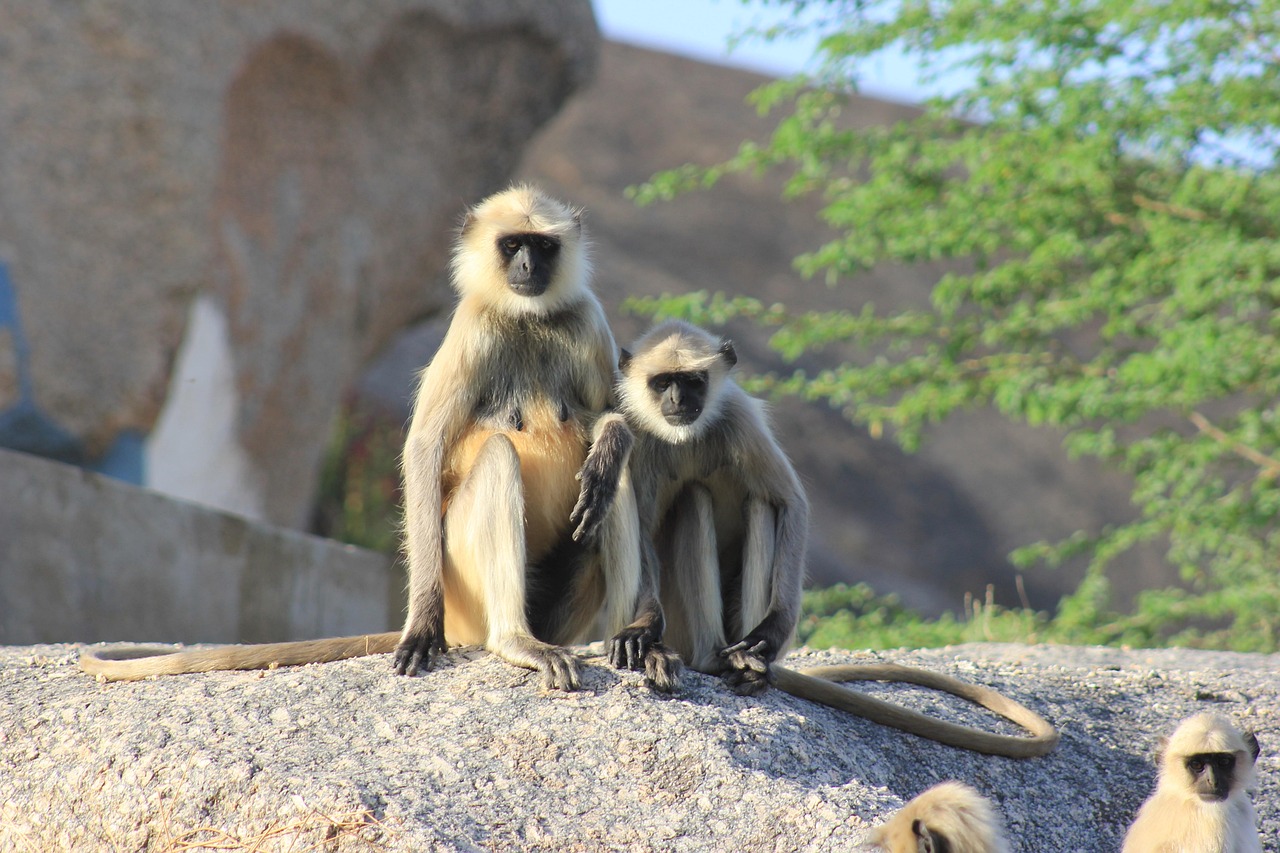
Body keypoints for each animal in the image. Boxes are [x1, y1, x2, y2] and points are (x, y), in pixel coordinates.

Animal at [81, 185, 646, 687]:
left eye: (543, 246)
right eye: (512, 245)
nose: (528, 267)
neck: (527, 319)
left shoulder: (587, 318)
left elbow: (610, 421)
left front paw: (612, 437)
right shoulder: (472, 327)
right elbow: (424, 450)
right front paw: (421, 624)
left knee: (610, 480)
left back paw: (631, 638)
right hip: (462, 583)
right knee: (499, 455)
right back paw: (515, 641)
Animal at [606, 319, 1059, 758]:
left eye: (693, 380)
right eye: (663, 383)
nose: (678, 401)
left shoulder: (738, 416)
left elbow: (791, 503)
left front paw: (771, 633)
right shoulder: (636, 431)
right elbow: (641, 524)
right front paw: (644, 629)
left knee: (759, 505)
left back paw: (748, 666)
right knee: (693, 498)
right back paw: (697, 657)